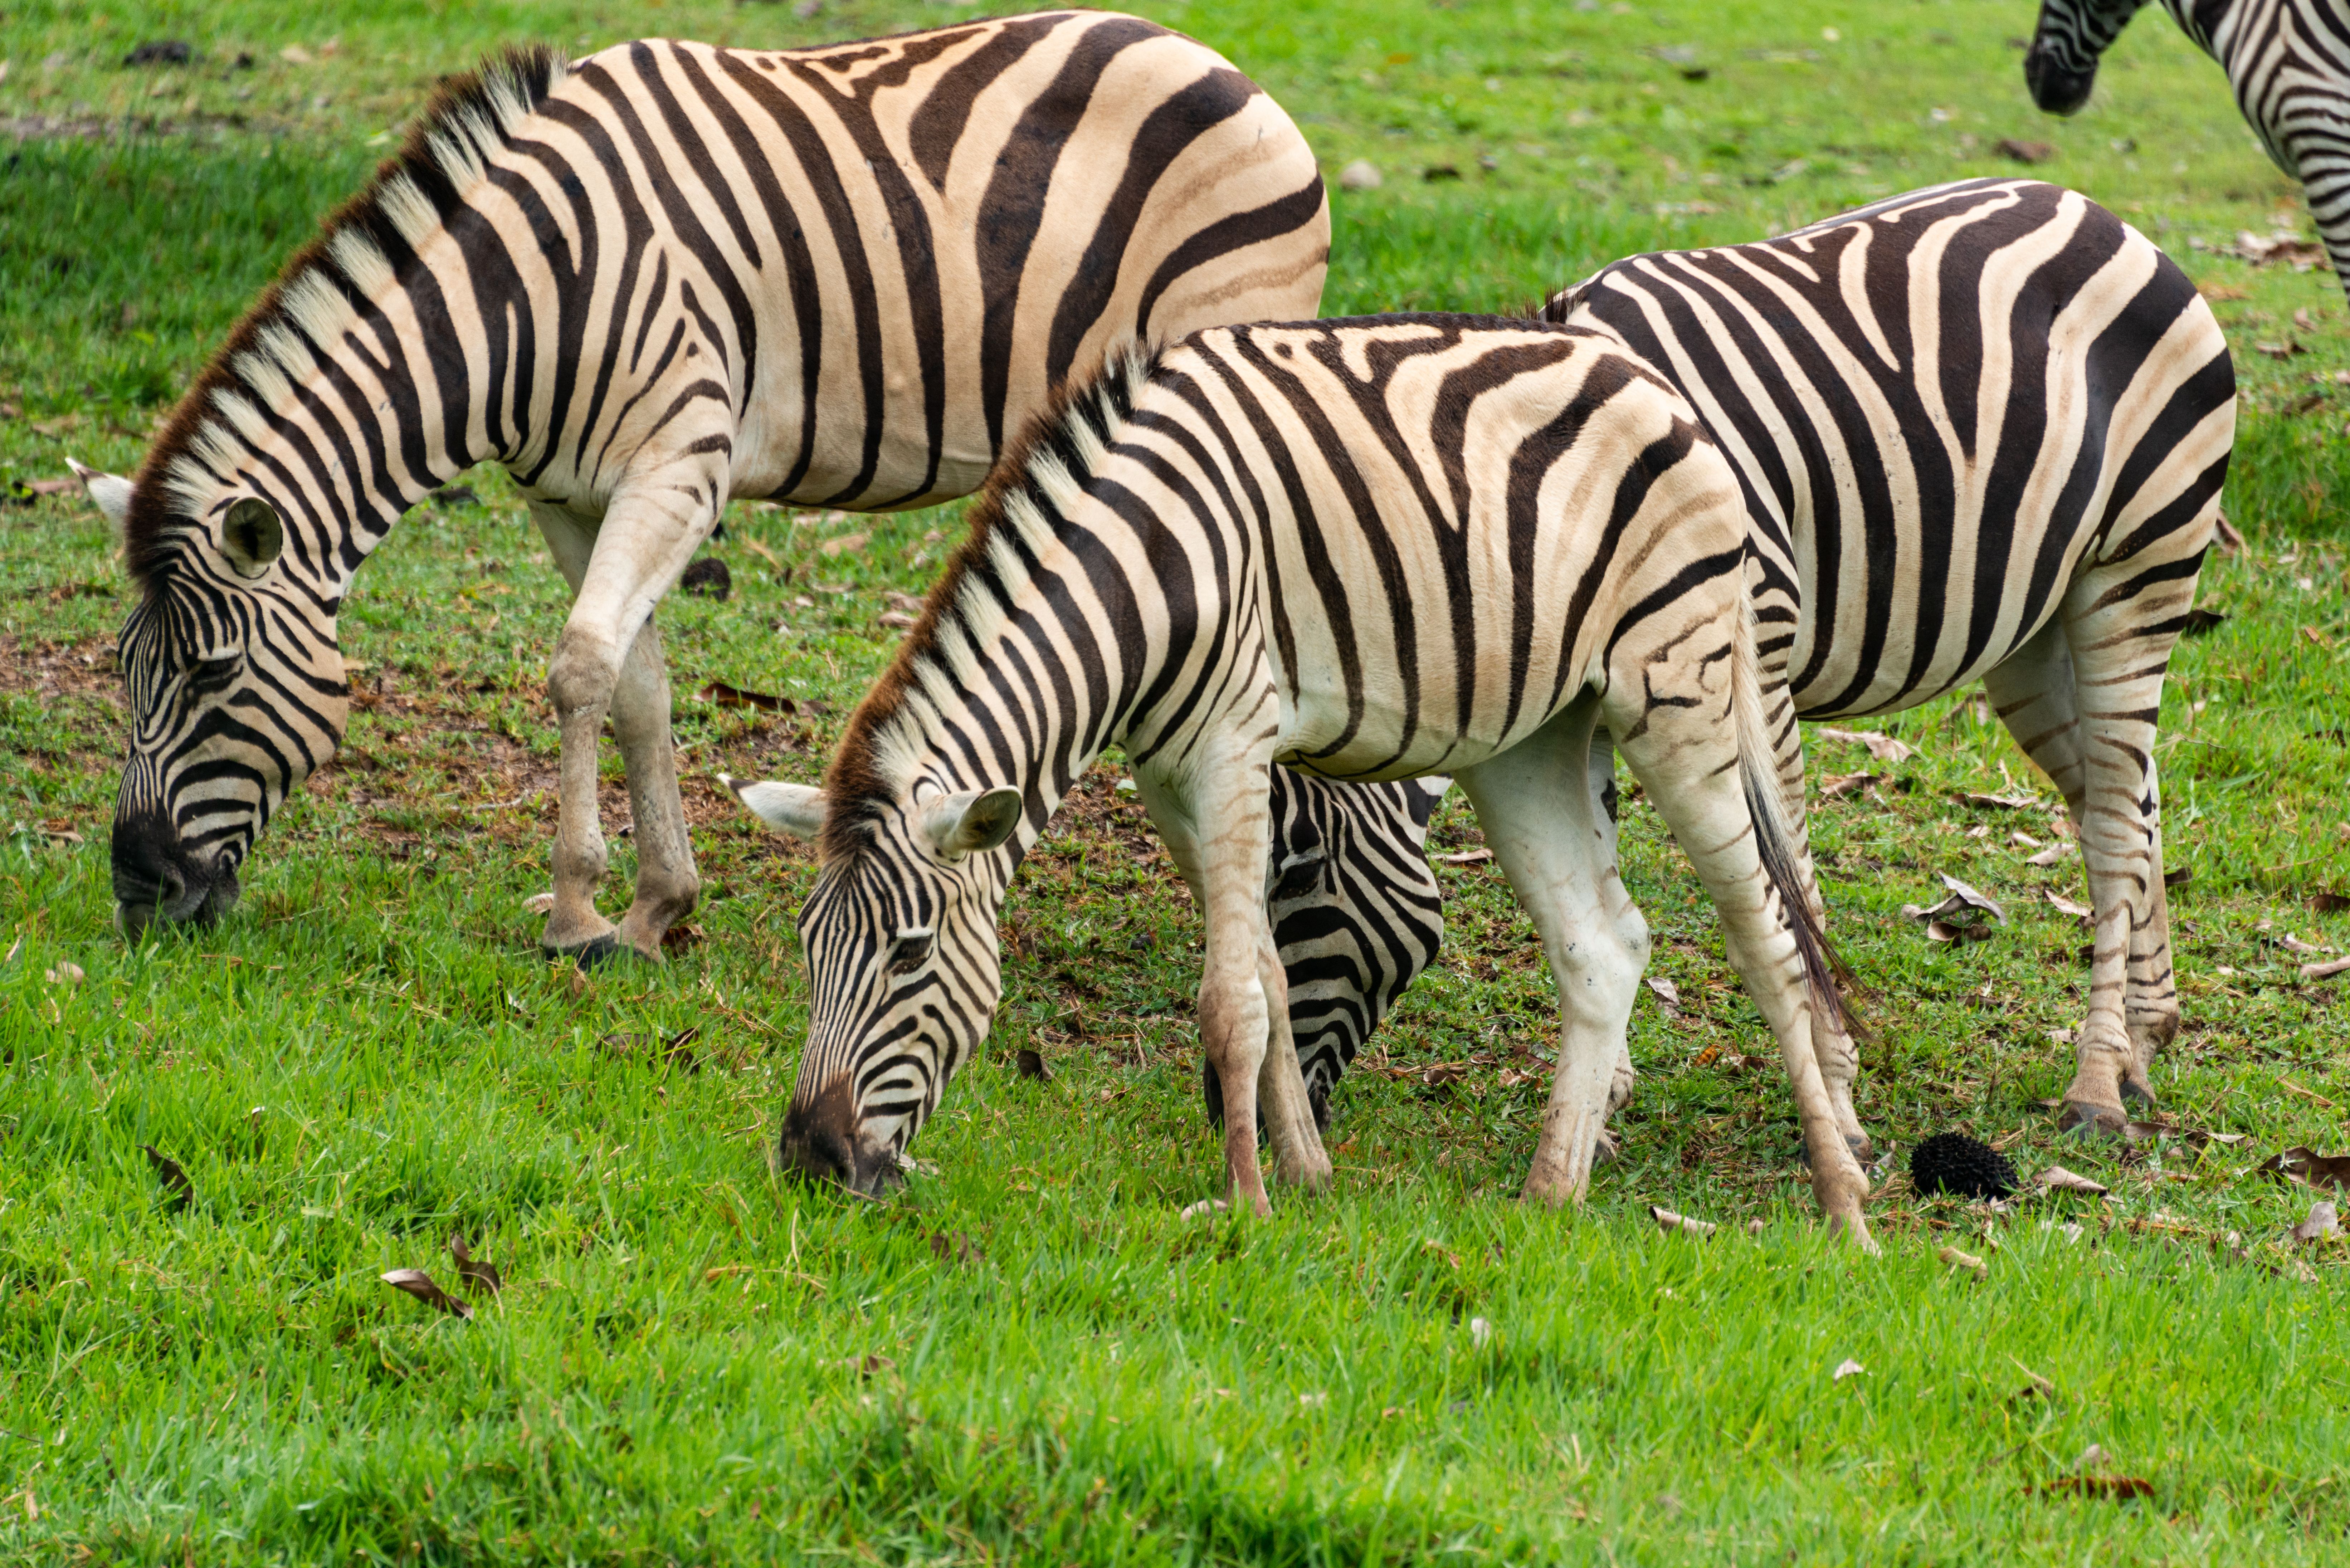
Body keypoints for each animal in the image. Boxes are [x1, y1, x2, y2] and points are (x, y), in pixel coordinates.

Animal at [69, 14, 1330, 959]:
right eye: (126, 669)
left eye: (212, 673)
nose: (138, 895)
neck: (524, 300)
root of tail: (1228, 69)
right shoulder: (567, 494)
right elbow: (636, 686)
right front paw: (654, 911)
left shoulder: (682, 459)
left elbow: (579, 668)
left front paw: (577, 907)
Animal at [727, 317, 1876, 1238]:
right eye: (809, 948)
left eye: (911, 953)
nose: (811, 1162)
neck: (1144, 578)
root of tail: (1656, 384)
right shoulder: (1168, 771)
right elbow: (1273, 974)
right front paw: (1308, 1172)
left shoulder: (1233, 741)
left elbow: (1229, 993)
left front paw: (1245, 1200)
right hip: (1532, 739)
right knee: (1603, 944)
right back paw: (1551, 1197)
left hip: (1678, 688)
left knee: (1768, 939)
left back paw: (1844, 1207)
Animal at [1246, 179, 2234, 1145]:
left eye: (1296, 882)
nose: (1249, 1120)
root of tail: (2107, 215)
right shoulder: (1589, 688)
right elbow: (1596, 874)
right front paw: (1605, 1089)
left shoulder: (1750, 653)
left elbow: (1785, 882)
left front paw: (1834, 1096)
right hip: (2033, 633)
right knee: (2124, 801)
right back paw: (2147, 1036)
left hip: (2139, 567)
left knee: (2115, 821)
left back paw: (2098, 1083)